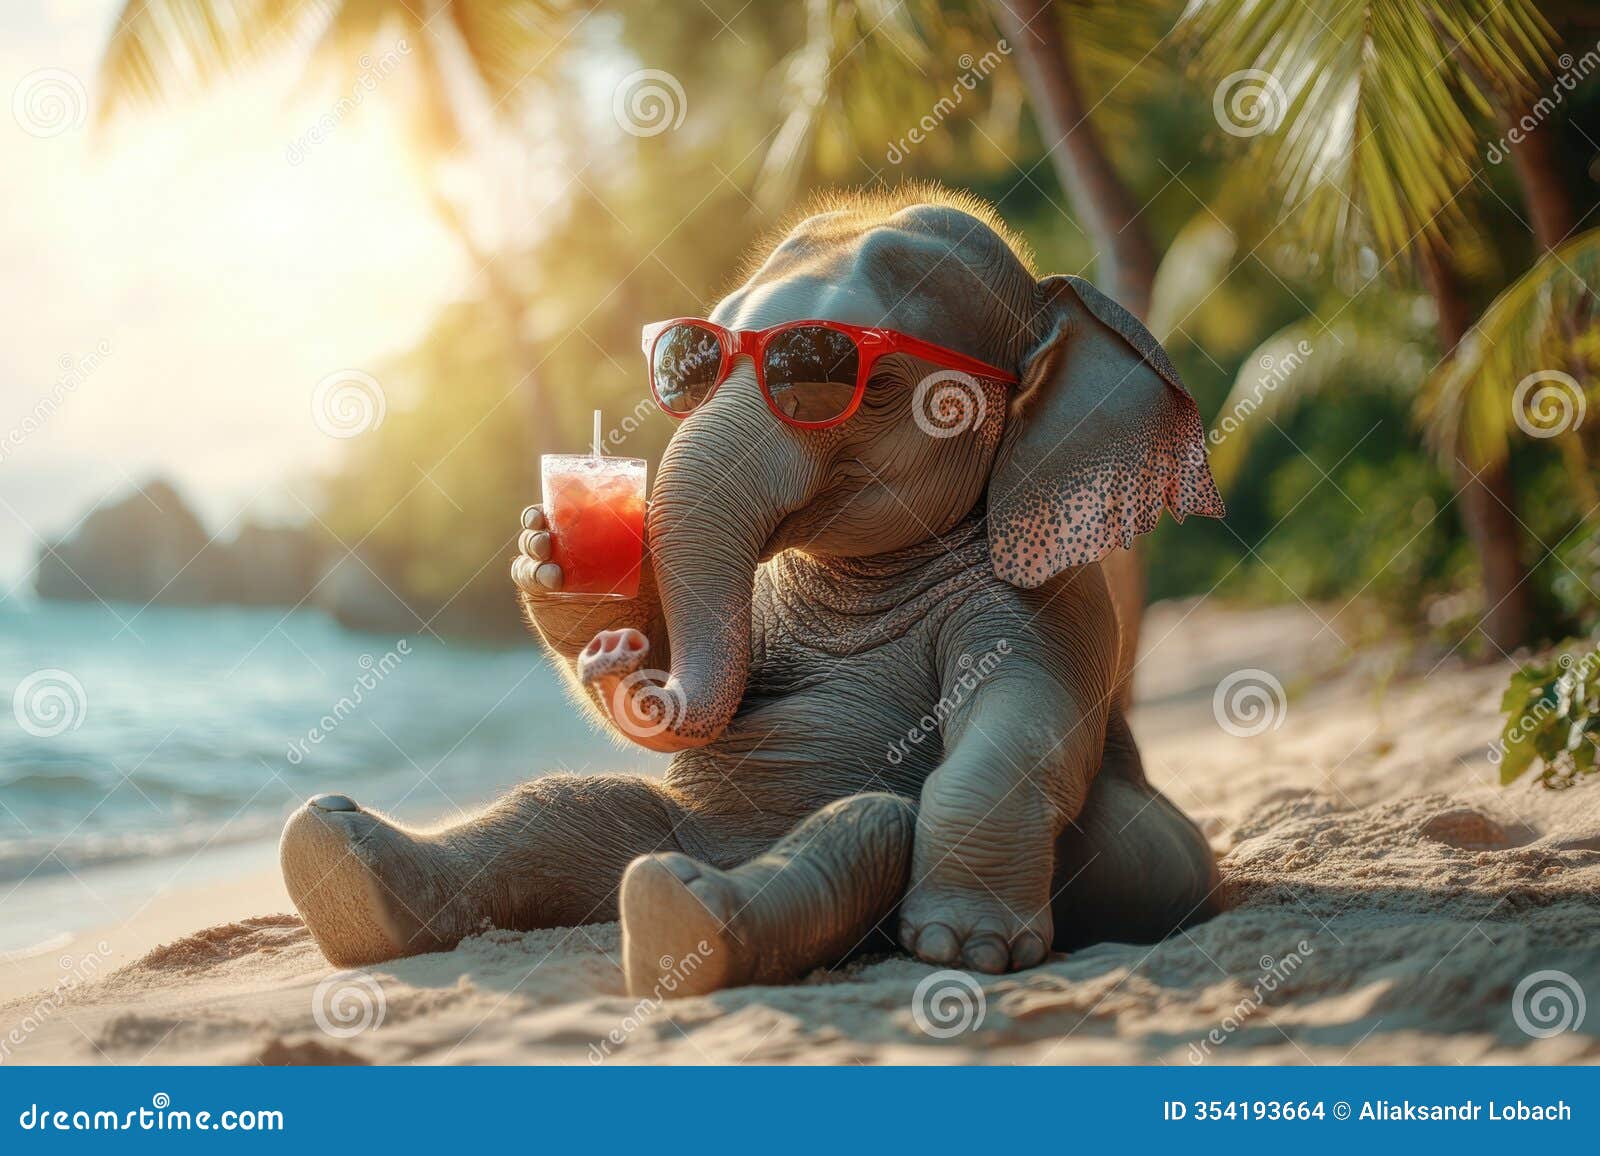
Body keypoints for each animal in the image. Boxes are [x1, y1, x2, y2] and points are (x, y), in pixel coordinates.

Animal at [279, 186, 1228, 998]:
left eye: (848, 379)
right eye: (686, 366)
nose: (615, 660)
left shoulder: (1049, 602)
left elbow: (1021, 719)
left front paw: (965, 947)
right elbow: (722, 695)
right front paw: (549, 561)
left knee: (879, 822)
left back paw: (688, 914)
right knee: (570, 812)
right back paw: (343, 865)